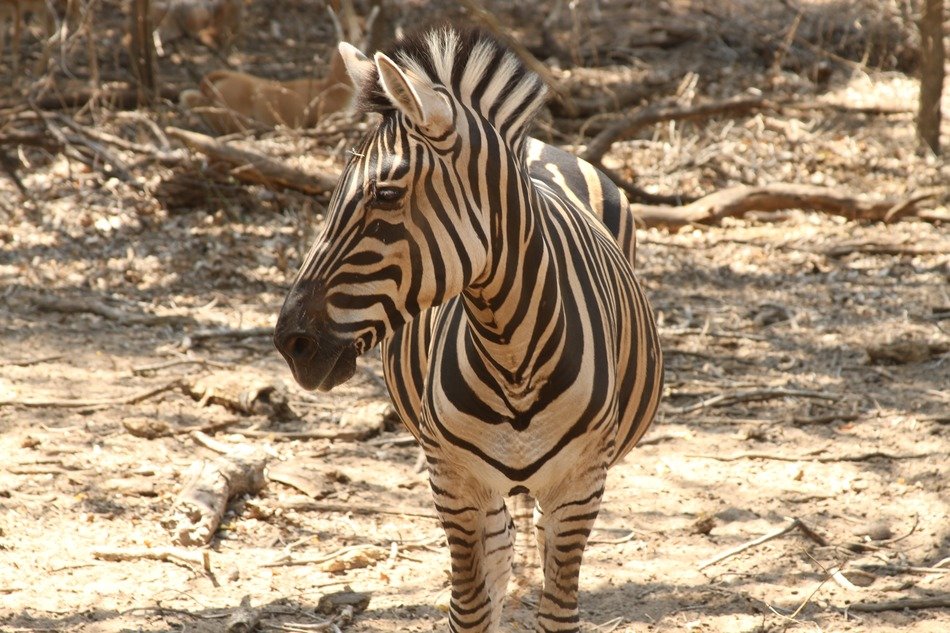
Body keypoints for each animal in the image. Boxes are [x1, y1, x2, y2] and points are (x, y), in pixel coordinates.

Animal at [274, 27, 664, 632]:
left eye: (385, 195)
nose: (290, 342)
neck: (512, 353)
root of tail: (541, 146)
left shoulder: (579, 487)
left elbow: (558, 611)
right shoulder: (453, 481)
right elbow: (470, 607)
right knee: (501, 547)